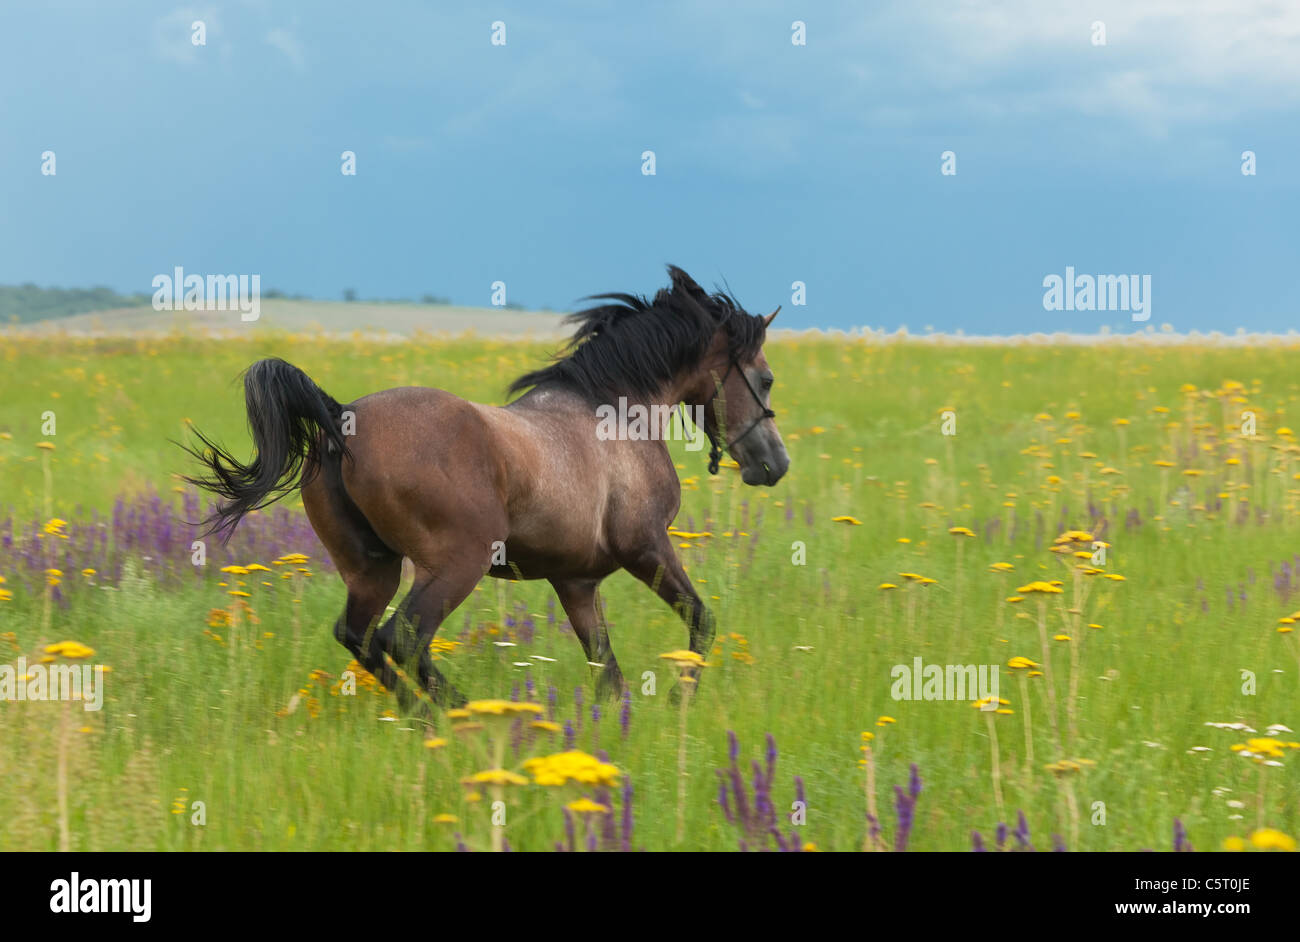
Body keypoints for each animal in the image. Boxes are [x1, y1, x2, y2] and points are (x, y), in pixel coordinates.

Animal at [184, 265, 790, 711]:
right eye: (765, 379)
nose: (774, 463)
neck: (616, 415)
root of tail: (340, 417)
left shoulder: (576, 581)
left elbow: (607, 668)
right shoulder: (647, 547)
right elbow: (702, 622)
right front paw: (678, 701)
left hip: (373, 570)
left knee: (361, 638)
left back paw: (432, 717)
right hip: (456, 564)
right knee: (402, 638)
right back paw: (458, 716)